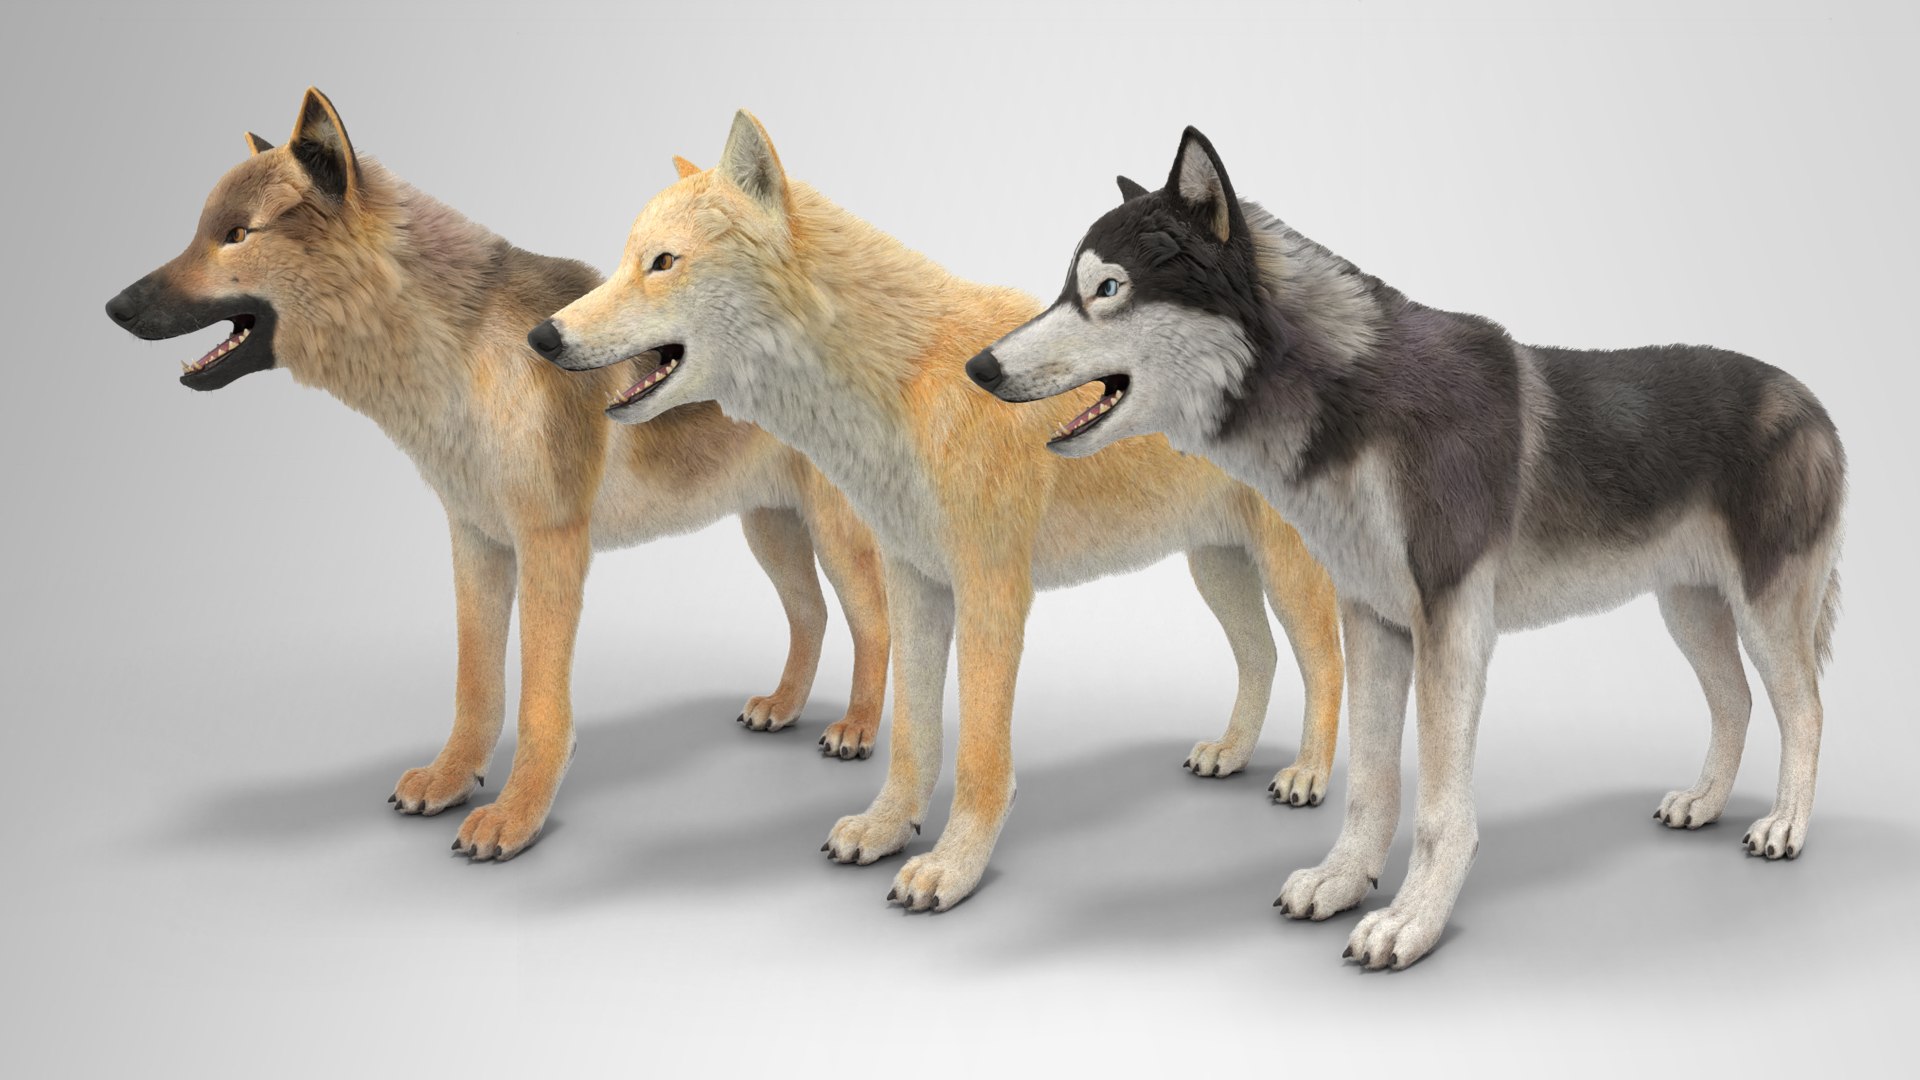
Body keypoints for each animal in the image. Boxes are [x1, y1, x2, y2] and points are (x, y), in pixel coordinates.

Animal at [103, 89, 892, 861]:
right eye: (201, 232)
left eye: (236, 234)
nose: (114, 306)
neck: (459, 358)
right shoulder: (476, 542)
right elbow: (475, 686)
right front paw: (452, 779)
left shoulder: (551, 547)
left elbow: (540, 704)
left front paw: (515, 817)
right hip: (769, 530)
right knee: (812, 615)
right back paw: (783, 708)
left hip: (832, 536)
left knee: (874, 622)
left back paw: (855, 730)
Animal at [526, 112, 1346, 912]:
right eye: (626, 260)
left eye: (662, 262)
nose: (543, 336)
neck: (903, 385)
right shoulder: (915, 583)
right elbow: (915, 735)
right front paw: (888, 828)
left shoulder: (992, 595)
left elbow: (980, 755)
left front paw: (952, 868)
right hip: (1216, 569)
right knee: (1262, 657)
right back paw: (1231, 753)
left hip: (1284, 575)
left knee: (1327, 665)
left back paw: (1307, 775)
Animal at [970, 127, 1846, 968]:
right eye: (1068, 288)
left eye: (1107, 289)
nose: (980, 366)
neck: (1349, 407)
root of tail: (1812, 401)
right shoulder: (1374, 619)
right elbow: (1370, 781)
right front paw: (1343, 879)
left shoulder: (1451, 627)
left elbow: (1436, 810)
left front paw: (1411, 922)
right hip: (1688, 611)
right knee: (1736, 703)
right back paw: (1702, 804)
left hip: (1761, 615)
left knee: (1805, 709)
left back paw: (1784, 827)